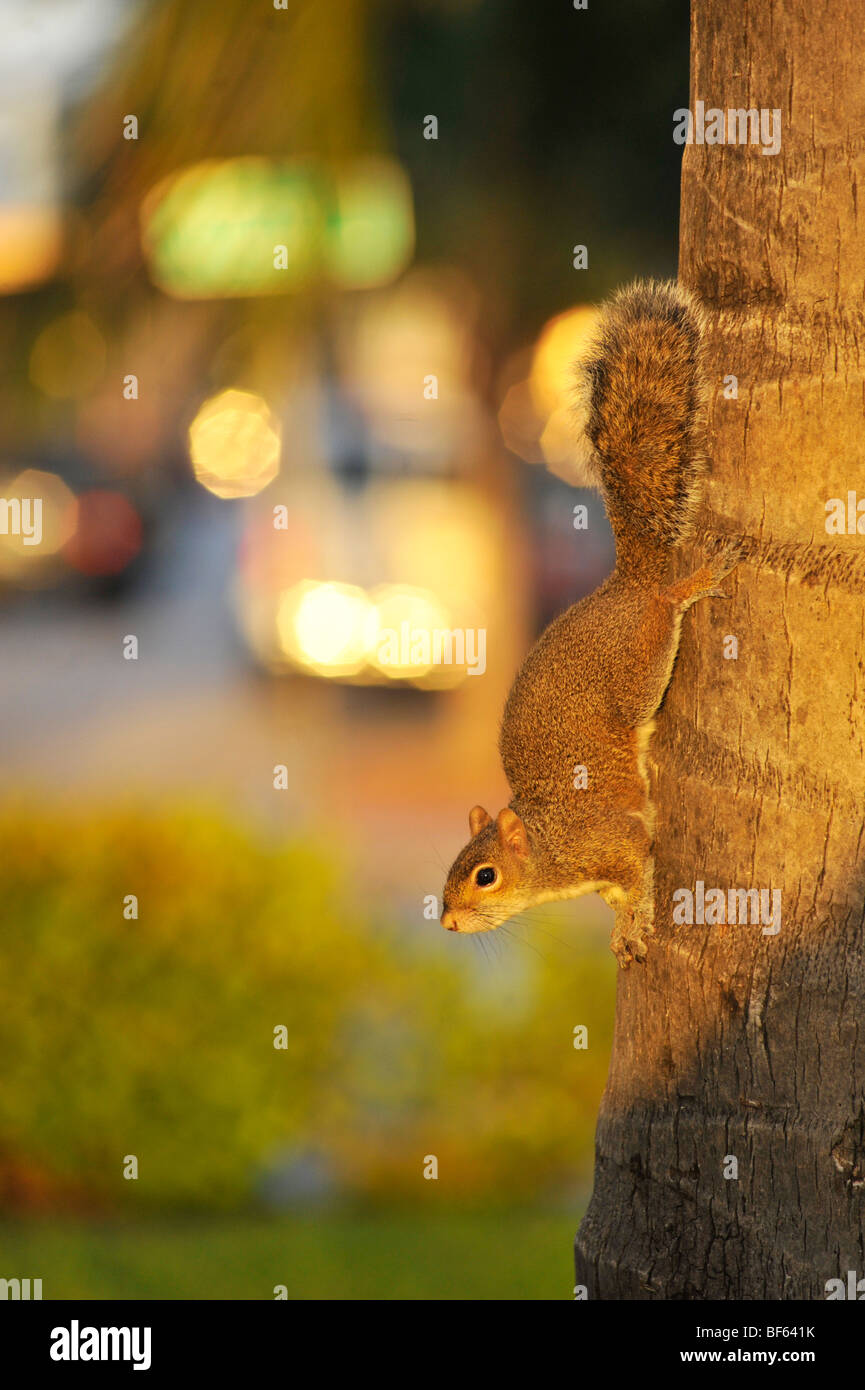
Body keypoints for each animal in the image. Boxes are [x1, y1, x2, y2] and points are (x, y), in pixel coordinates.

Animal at [440, 278, 740, 967]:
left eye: (486, 876)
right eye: (451, 868)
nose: (447, 923)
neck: (549, 848)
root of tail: (626, 580)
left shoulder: (611, 843)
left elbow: (639, 870)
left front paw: (632, 923)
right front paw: (620, 928)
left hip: (642, 661)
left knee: (666, 610)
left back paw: (690, 585)